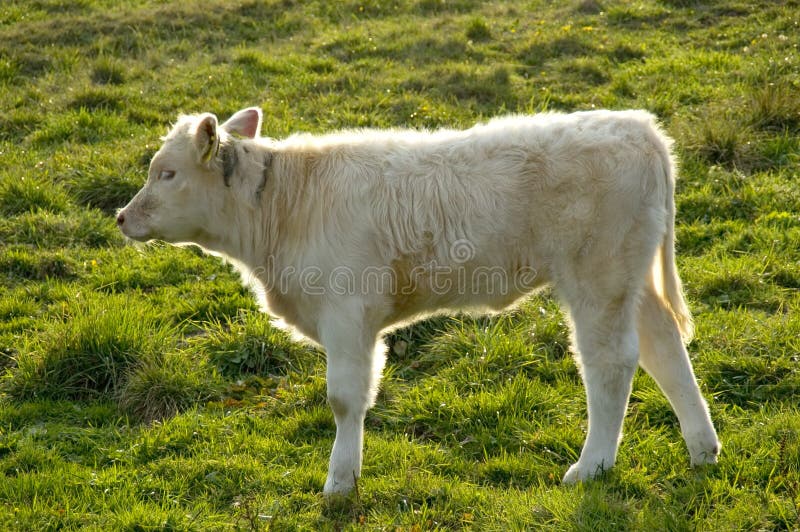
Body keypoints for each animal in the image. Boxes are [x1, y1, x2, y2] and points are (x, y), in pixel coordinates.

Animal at [117, 107, 720, 495]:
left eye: (166, 173)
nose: (122, 217)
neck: (287, 206)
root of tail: (637, 125)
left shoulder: (347, 316)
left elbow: (344, 399)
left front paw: (340, 481)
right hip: (631, 278)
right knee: (664, 346)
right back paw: (702, 449)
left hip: (599, 277)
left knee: (611, 362)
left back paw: (592, 467)